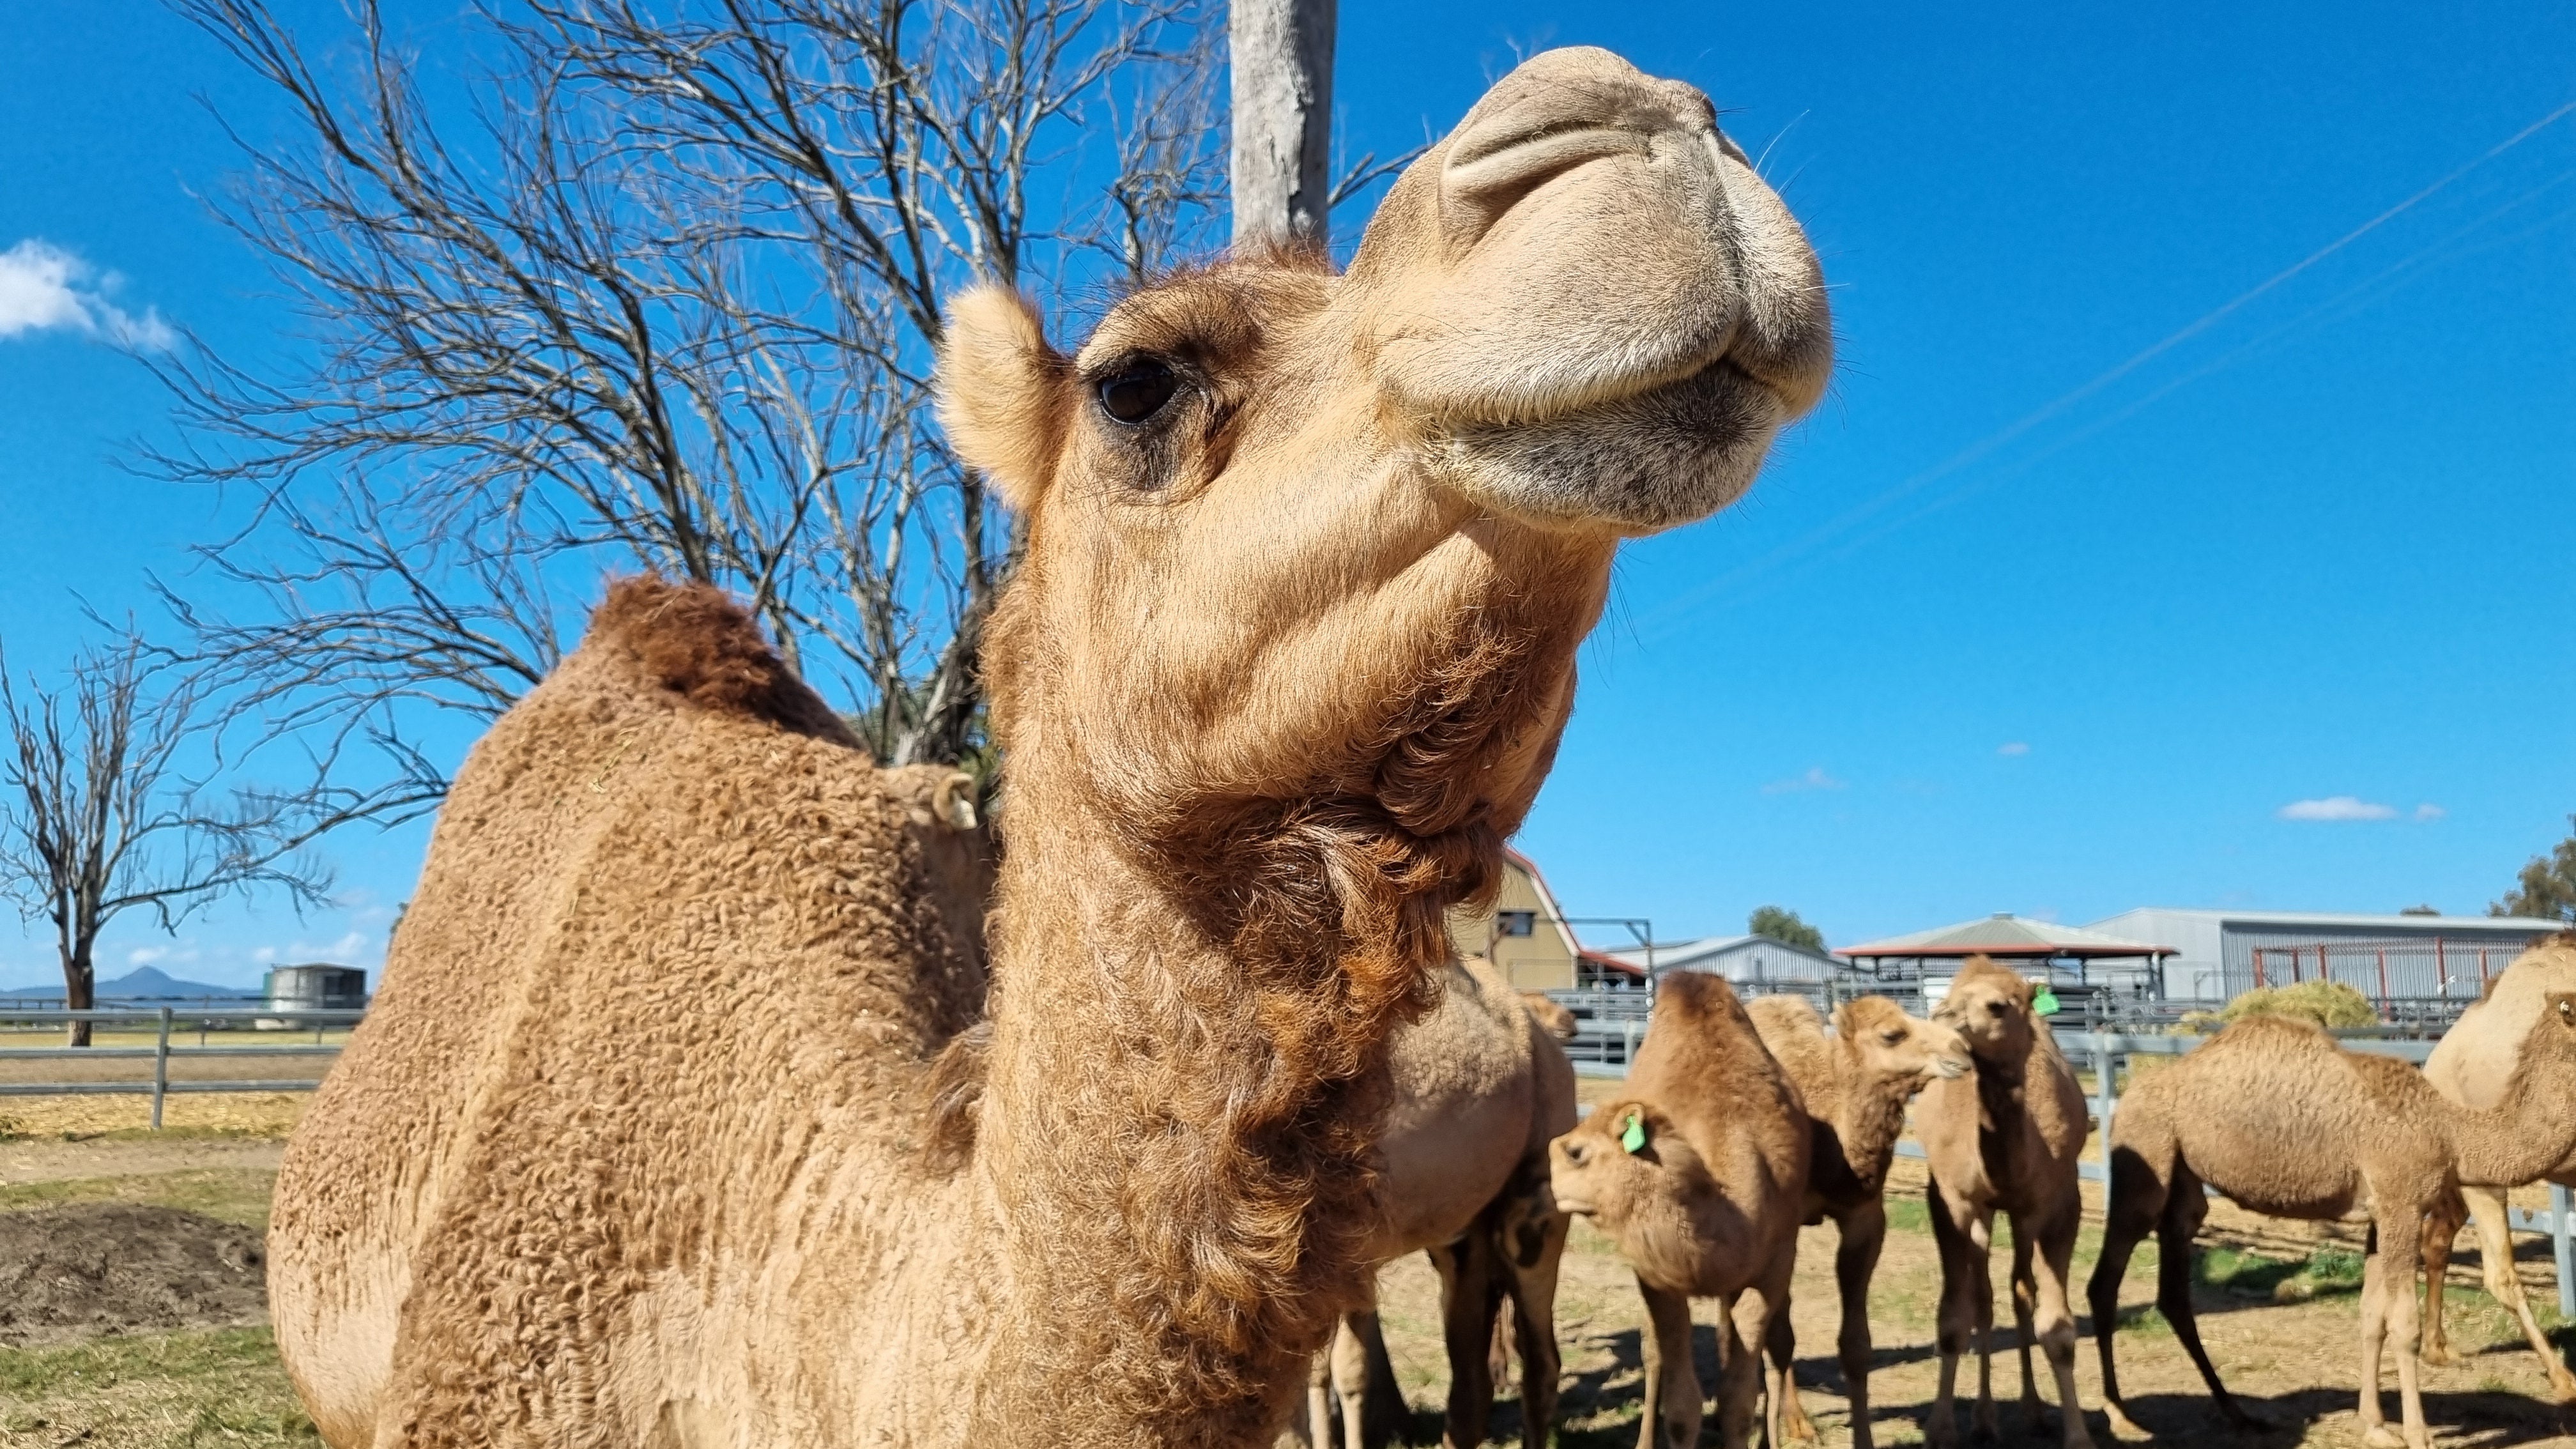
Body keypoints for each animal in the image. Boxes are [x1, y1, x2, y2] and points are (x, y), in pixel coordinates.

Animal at [1305, 958, 1576, 1449]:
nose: (1570, 1022)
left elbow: (1349, 1371)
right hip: (1461, 1236)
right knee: (1473, 1382)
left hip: (1536, 1204)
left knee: (1540, 1364)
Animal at [1547, 972, 1811, 1449]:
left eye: (1576, 1154)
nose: (1535, 1172)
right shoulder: (1658, 1277)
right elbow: (1683, 1403)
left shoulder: (1775, 1261)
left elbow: (1738, 1397)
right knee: (1653, 1354)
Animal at [1747, 994, 1973, 1449]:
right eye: (1892, 1034)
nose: (1961, 1050)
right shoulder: (1781, 1227)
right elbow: (1778, 1334)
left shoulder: (1865, 1218)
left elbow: (1856, 1346)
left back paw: (1798, 1422)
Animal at [1914, 956, 2097, 1449]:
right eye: (1946, 999)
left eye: (1998, 1006)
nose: (1939, 1021)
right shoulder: (1951, 1199)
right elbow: (1954, 1322)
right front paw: (1942, 1428)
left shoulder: (2059, 1200)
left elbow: (2058, 1328)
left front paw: (2078, 1435)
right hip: (1986, 1213)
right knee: (1986, 1298)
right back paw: (1985, 1418)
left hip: (2020, 1215)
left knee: (2020, 1292)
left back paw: (2032, 1411)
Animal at [2089, 993, 2576, 1449]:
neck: (2451, 1132)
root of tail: (2128, 1095)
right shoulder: (2401, 1202)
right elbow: (2404, 1324)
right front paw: (2418, 1434)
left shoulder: (2381, 1214)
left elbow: (2371, 1315)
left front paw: (2376, 1426)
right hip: (2145, 1157)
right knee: (2105, 1282)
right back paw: (2120, 1417)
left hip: (2184, 1187)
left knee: (2174, 1292)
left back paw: (2239, 1415)